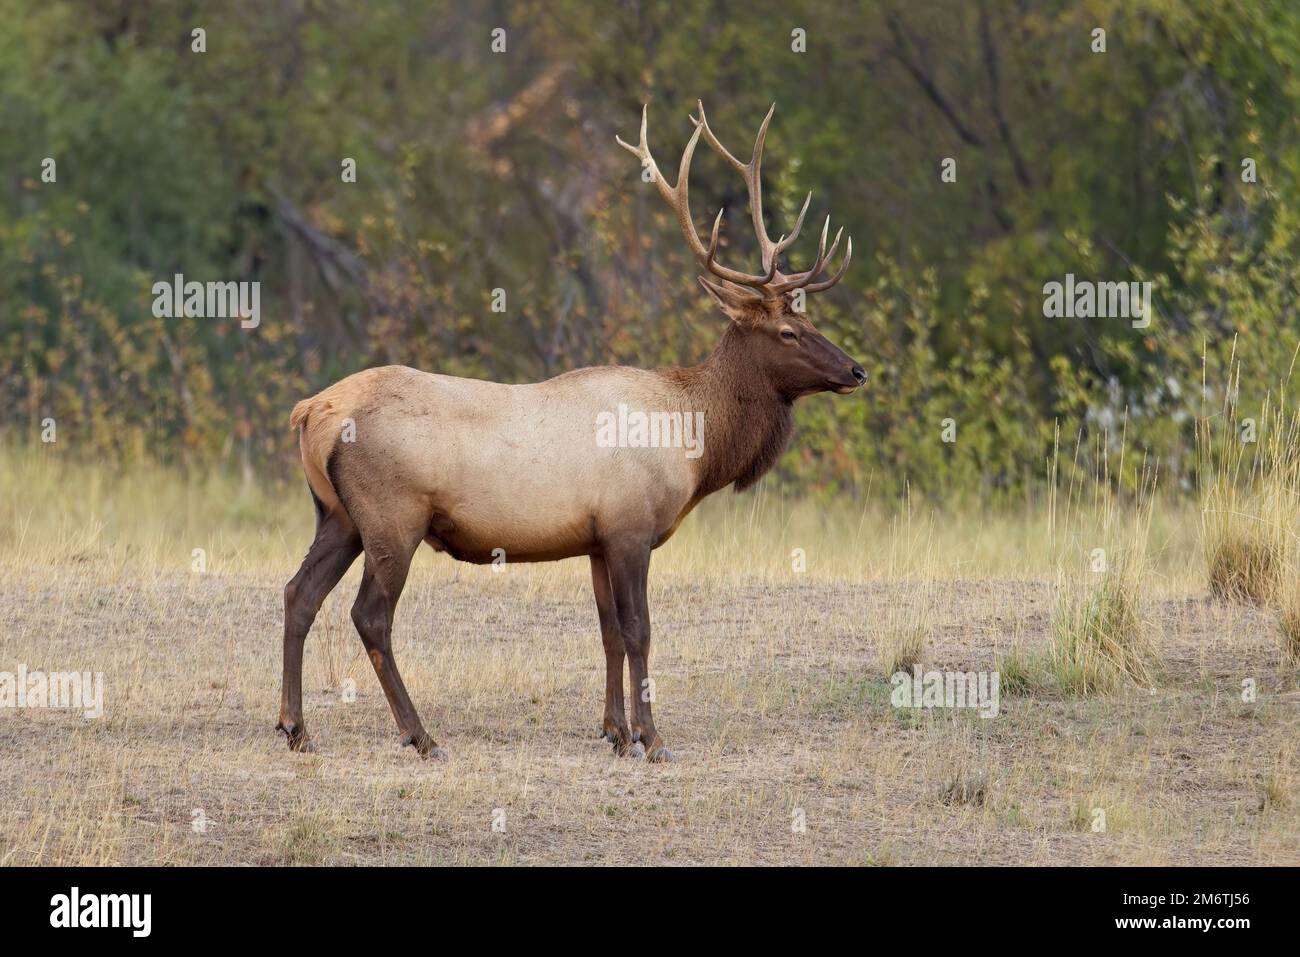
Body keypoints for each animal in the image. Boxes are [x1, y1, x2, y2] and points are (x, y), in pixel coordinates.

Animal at [277, 100, 865, 762]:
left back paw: (296, 727)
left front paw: (615, 731)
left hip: (338, 515)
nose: (857, 370)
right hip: (392, 516)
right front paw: (653, 739)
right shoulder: (631, 527)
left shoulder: (598, 540)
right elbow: (639, 631)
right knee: (369, 614)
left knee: (298, 593)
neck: (692, 445)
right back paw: (421, 735)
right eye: (788, 332)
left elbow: (607, 631)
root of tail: (312, 411)